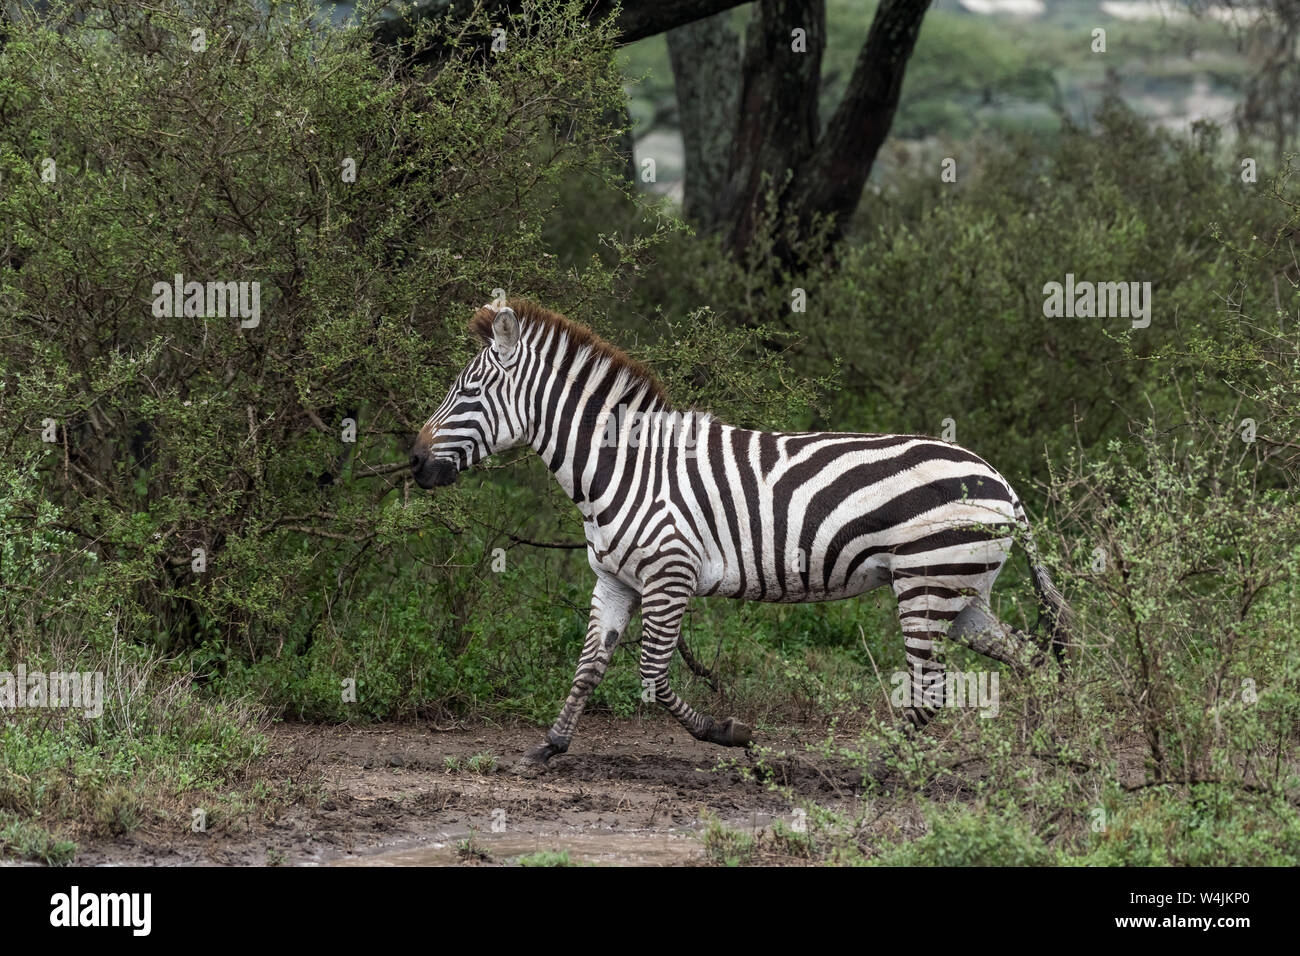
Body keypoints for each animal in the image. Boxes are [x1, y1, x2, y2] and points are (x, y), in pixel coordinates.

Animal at [410, 299, 1073, 770]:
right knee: (1032, 660)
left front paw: (728, 732)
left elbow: (652, 675)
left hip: (927, 583)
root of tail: (1000, 481)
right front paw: (549, 746)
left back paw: (883, 766)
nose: (414, 463)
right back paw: (1047, 746)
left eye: (468, 390)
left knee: (932, 688)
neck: (623, 467)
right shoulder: (615, 578)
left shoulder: (670, 573)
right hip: (962, 591)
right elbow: (589, 666)